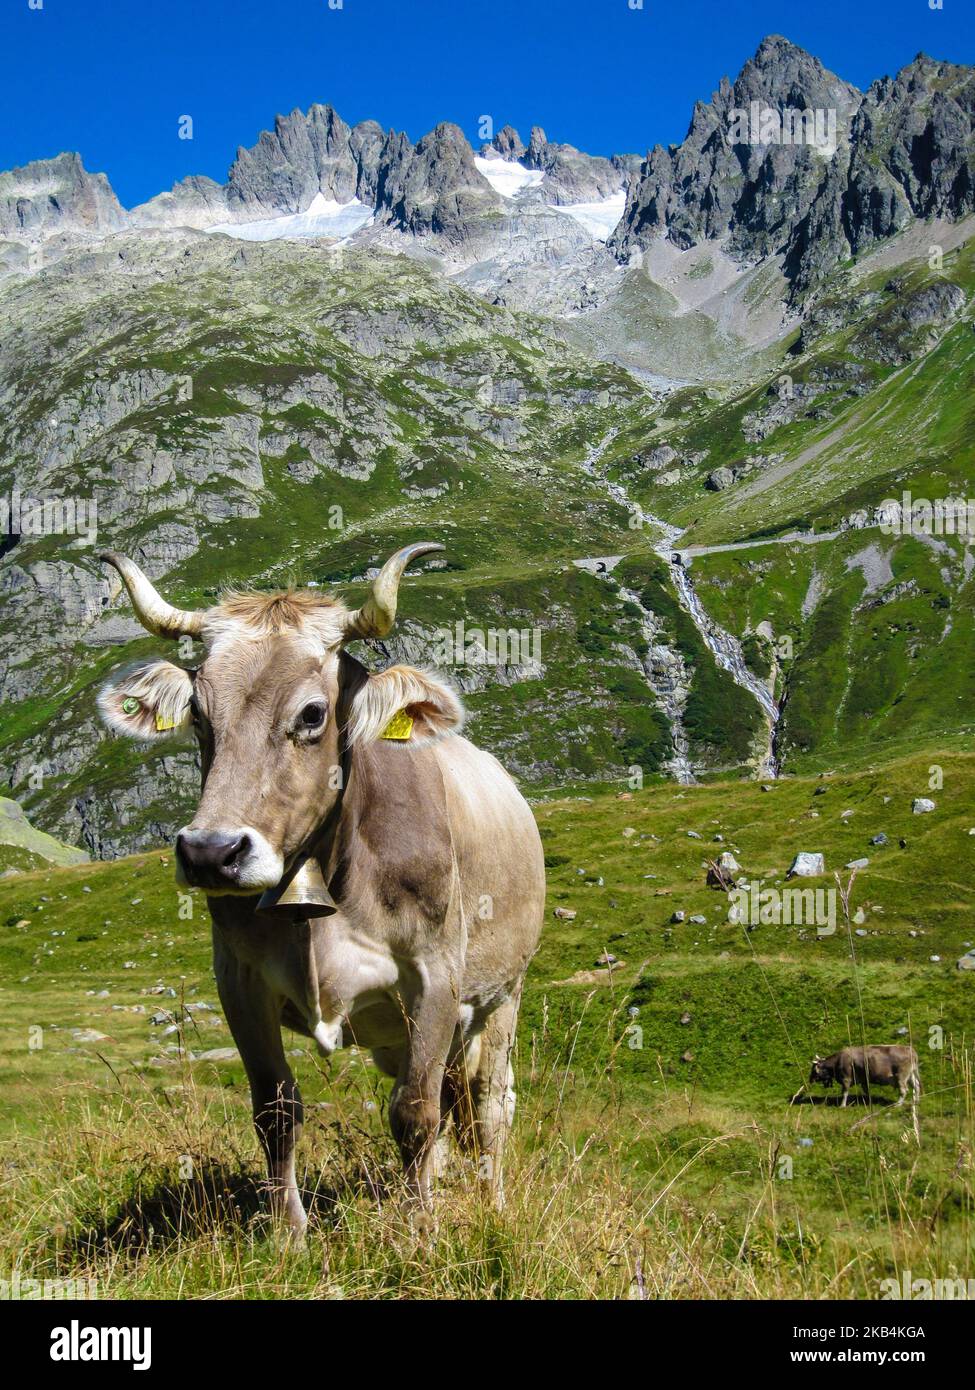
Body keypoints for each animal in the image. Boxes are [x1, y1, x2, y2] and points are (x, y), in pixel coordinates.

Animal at [96, 543, 546, 1236]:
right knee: (453, 1100)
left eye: (311, 714)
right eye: (198, 713)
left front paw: (418, 1233)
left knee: (488, 1104)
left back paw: (488, 1201)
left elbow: (414, 1113)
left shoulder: (435, 974)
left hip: (502, 994)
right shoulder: (238, 981)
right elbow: (276, 1111)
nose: (210, 853)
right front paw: (289, 1235)